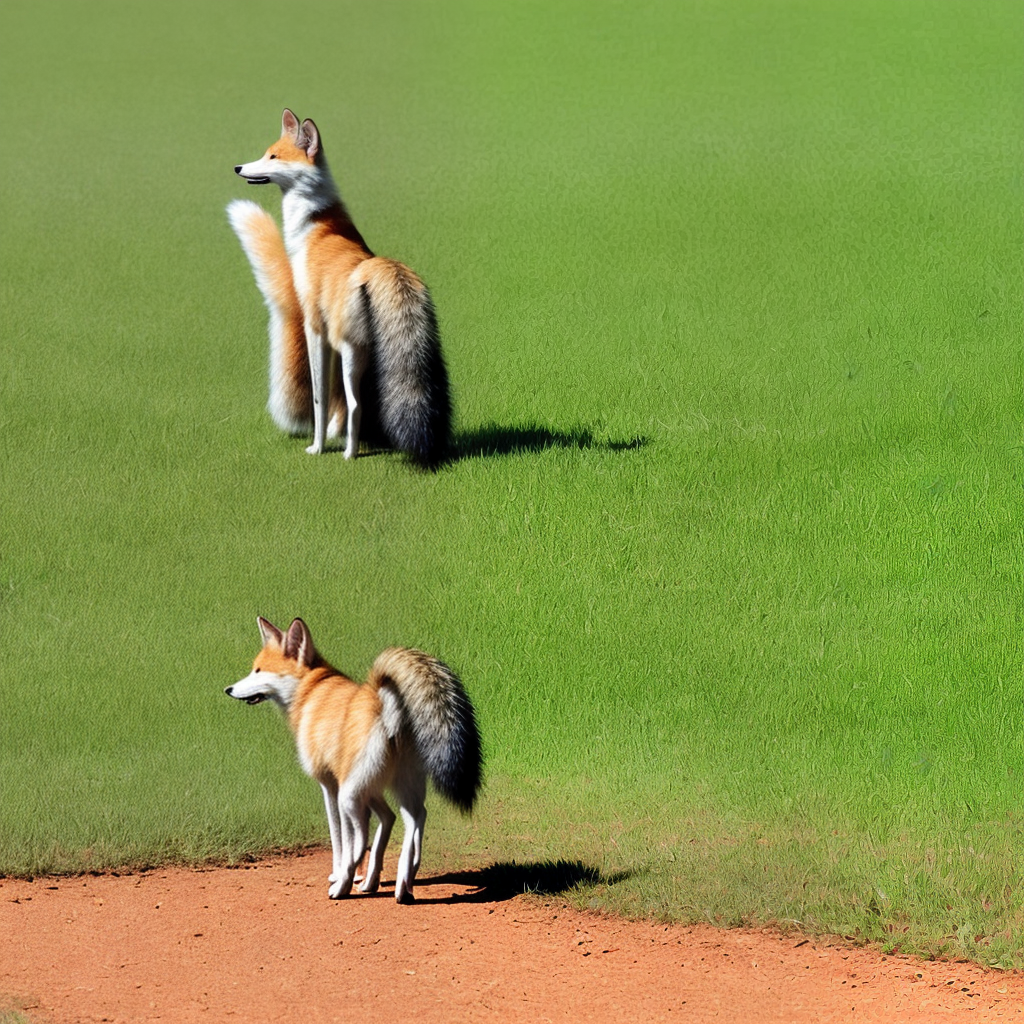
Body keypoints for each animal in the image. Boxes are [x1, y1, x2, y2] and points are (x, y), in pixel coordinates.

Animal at [225, 617, 482, 903]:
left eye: (258, 671)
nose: (228, 689)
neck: (311, 689)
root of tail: (384, 700)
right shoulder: (371, 792)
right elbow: (384, 826)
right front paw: (370, 879)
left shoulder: (331, 787)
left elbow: (341, 840)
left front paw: (342, 875)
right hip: (399, 787)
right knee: (415, 820)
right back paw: (404, 881)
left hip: (350, 795)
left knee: (362, 840)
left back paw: (343, 887)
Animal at [229, 109, 451, 467]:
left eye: (273, 157)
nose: (237, 168)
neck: (313, 225)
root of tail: (376, 267)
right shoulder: (328, 338)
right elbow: (330, 398)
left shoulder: (315, 327)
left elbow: (319, 398)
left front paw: (317, 447)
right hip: (367, 355)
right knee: (360, 403)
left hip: (351, 351)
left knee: (355, 404)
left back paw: (349, 453)